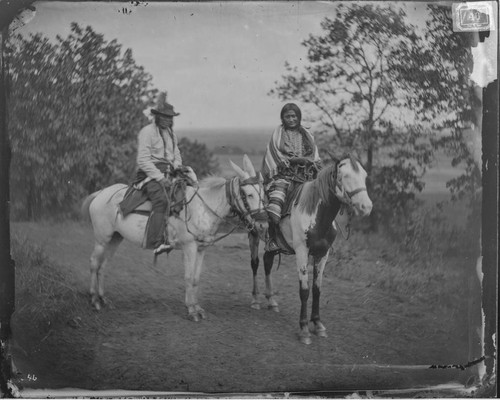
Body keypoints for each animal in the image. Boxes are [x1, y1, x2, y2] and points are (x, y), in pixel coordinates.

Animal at [82, 155, 268, 320]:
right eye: (249, 194)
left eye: (263, 193)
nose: (263, 225)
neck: (202, 208)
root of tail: (100, 193)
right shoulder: (189, 248)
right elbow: (188, 277)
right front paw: (191, 311)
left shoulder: (201, 249)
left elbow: (196, 278)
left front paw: (197, 308)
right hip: (102, 240)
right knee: (93, 262)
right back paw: (94, 300)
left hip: (115, 238)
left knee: (103, 265)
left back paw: (103, 299)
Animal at [249, 154, 372, 344]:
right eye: (345, 176)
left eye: (364, 176)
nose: (366, 207)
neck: (316, 214)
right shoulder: (302, 252)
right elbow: (304, 291)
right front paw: (304, 330)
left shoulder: (323, 254)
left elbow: (317, 289)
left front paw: (318, 324)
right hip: (254, 234)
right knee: (255, 264)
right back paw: (255, 300)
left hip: (271, 245)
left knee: (267, 263)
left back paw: (271, 301)